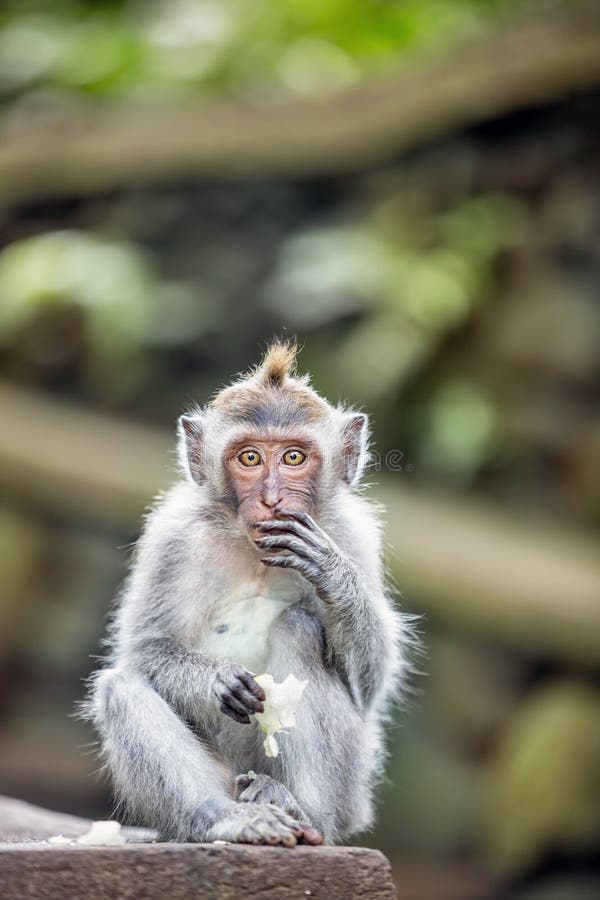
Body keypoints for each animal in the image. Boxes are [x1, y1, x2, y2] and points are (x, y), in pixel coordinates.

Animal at [85, 340, 408, 847]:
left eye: (293, 458)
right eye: (250, 459)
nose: (272, 500)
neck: (256, 552)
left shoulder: (354, 535)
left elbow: (371, 685)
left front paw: (332, 574)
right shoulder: (173, 536)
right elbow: (144, 647)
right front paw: (215, 680)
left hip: (352, 798)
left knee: (299, 628)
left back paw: (302, 812)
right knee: (121, 687)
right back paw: (224, 818)